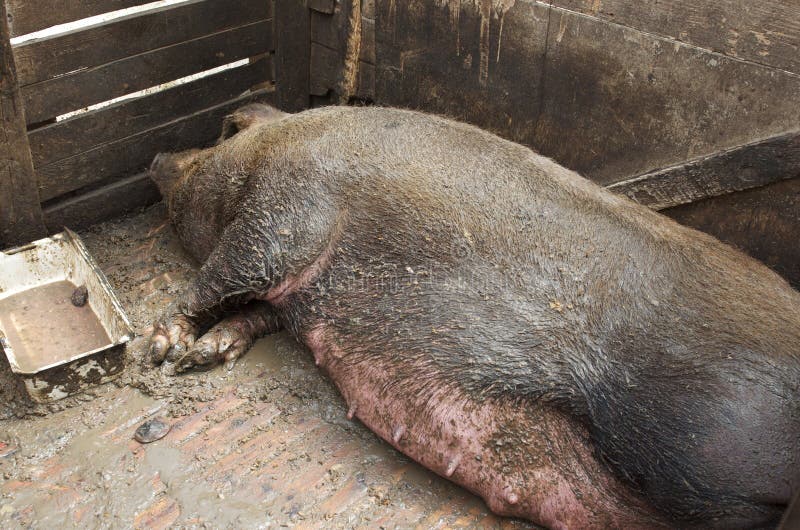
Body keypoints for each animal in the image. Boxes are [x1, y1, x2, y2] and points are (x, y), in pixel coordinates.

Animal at [148, 103, 800, 529]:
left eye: (216, 138)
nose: (157, 156)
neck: (274, 144)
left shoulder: (284, 214)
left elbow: (223, 275)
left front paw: (164, 350)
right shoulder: (295, 300)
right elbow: (254, 313)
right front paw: (206, 353)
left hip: (692, 448)